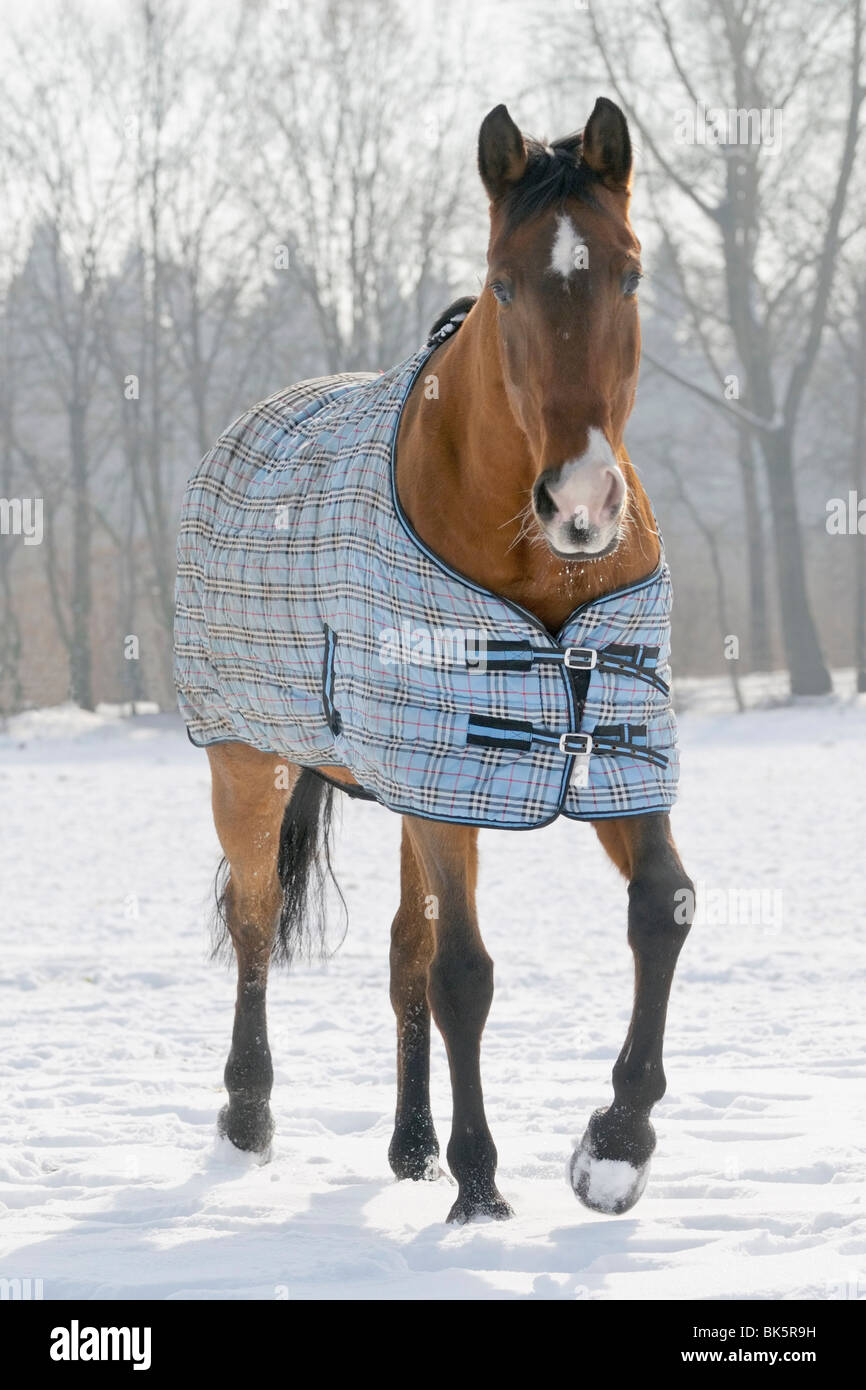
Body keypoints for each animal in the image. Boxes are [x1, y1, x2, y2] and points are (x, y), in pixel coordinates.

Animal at [174, 97, 694, 1224]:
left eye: (630, 272)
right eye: (503, 281)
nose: (580, 503)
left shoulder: (603, 747)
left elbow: (661, 907)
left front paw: (615, 1147)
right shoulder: (446, 773)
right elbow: (465, 973)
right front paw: (482, 1187)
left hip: (416, 786)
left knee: (400, 953)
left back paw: (410, 1147)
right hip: (247, 759)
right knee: (253, 923)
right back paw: (249, 1116)